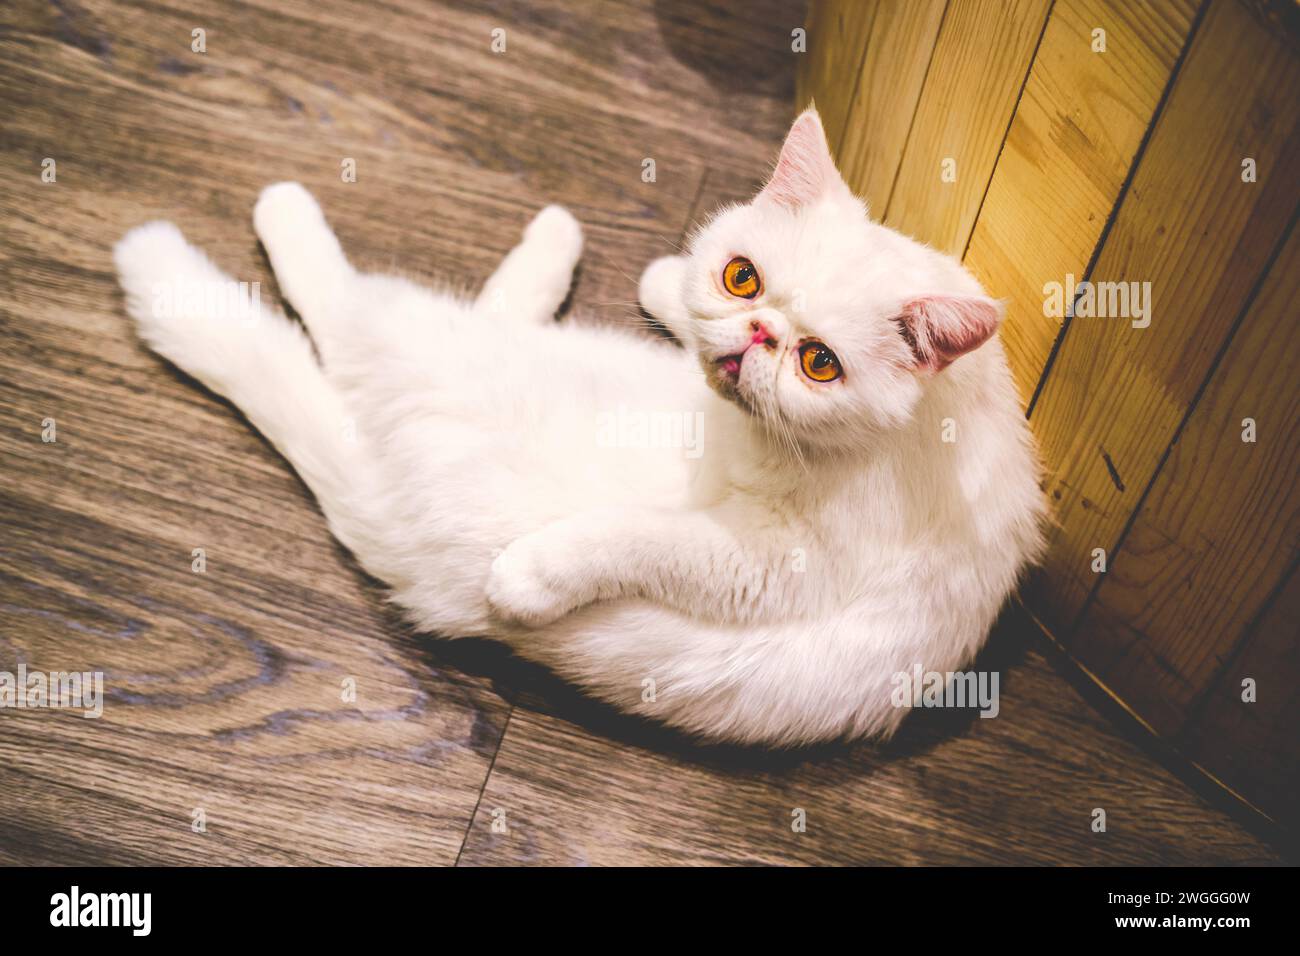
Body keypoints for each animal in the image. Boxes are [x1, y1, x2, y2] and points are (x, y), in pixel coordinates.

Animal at [111, 110, 1045, 749]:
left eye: (820, 364)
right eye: (742, 278)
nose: (755, 338)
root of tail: (389, 518)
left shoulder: (769, 561)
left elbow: (632, 538)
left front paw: (531, 577)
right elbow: (680, 314)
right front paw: (670, 283)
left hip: (431, 347)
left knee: (344, 310)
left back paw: (254, 224)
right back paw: (555, 240)